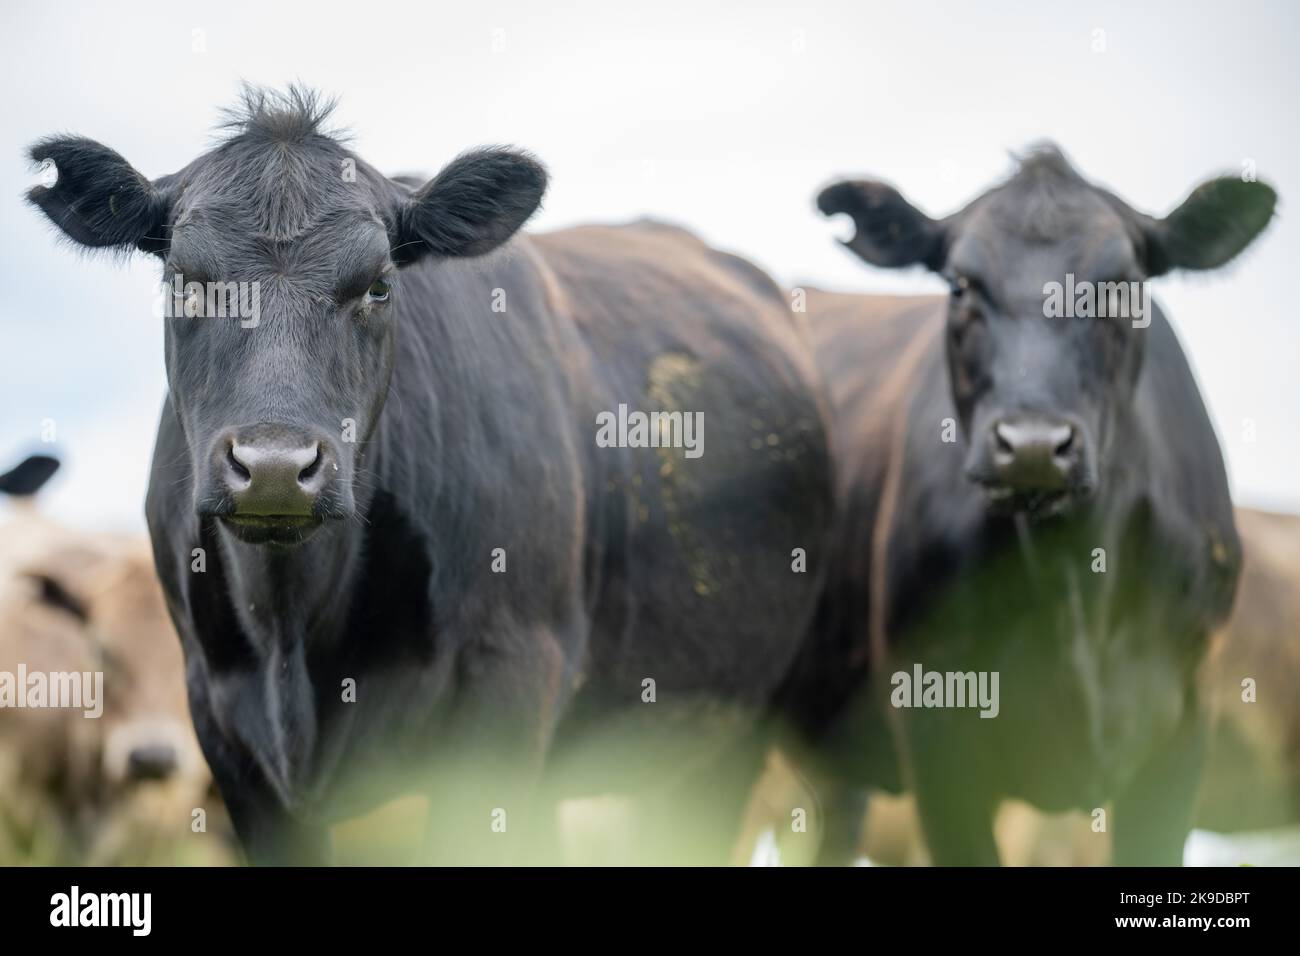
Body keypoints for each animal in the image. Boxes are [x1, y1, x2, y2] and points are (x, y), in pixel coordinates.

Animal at [27, 86, 834, 864]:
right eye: (185, 282)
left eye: (378, 286)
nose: (276, 467)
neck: (292, 631)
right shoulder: (223, 727)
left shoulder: (510, 686)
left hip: (737, 736)